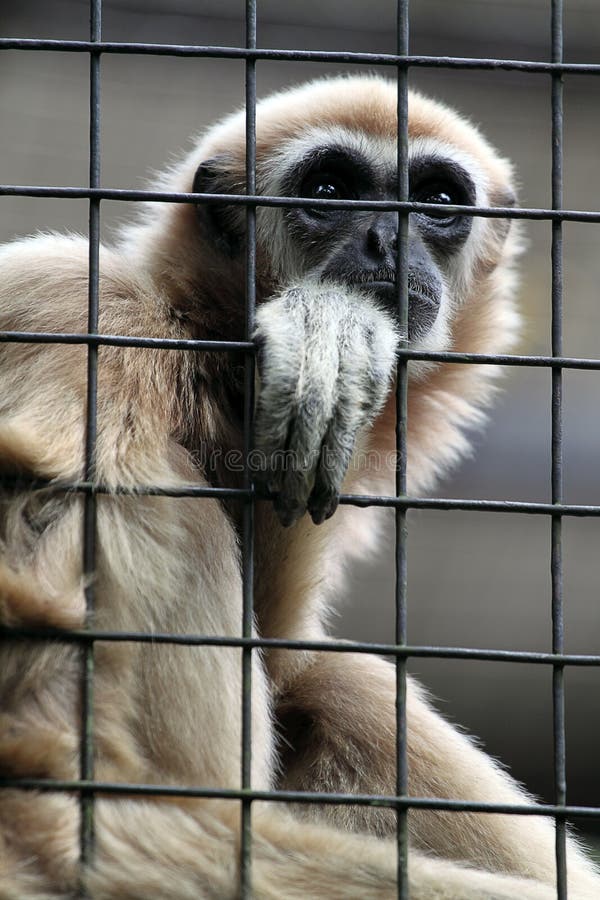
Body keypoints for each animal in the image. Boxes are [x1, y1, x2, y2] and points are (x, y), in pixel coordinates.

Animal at [0, 74, 598, 899]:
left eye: (438, 200)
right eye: (329, 189)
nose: (387, 239)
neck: (191, 340)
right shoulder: (78, 309)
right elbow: (63, 801)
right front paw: (327, 326)